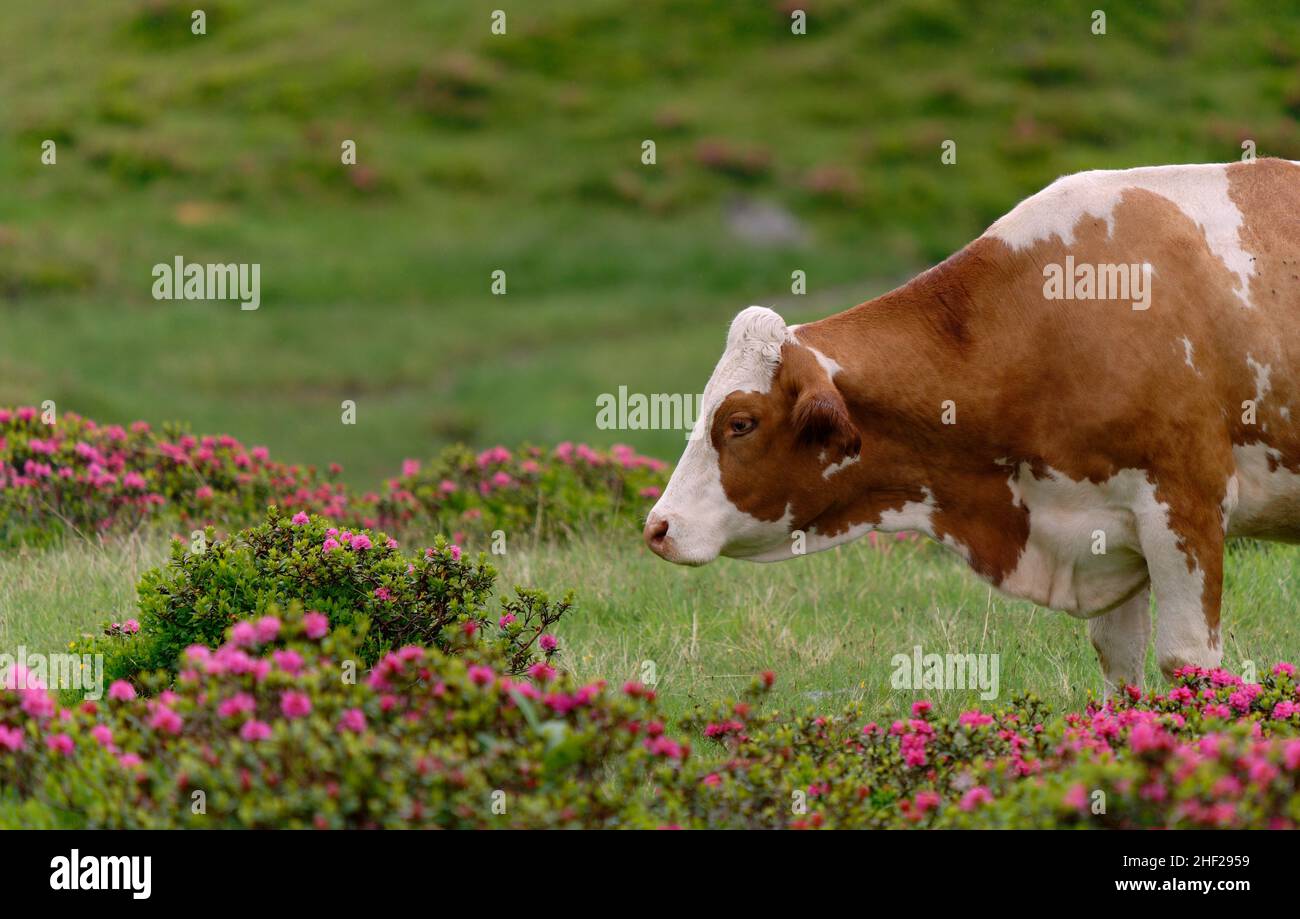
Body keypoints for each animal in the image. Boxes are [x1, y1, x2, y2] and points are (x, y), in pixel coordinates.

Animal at [644, 159, 1300, 696]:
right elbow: (1119, 661)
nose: (658, 526)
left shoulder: (1186, 502)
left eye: (740, 422)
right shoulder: (1104, 529)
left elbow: (1187, 660)